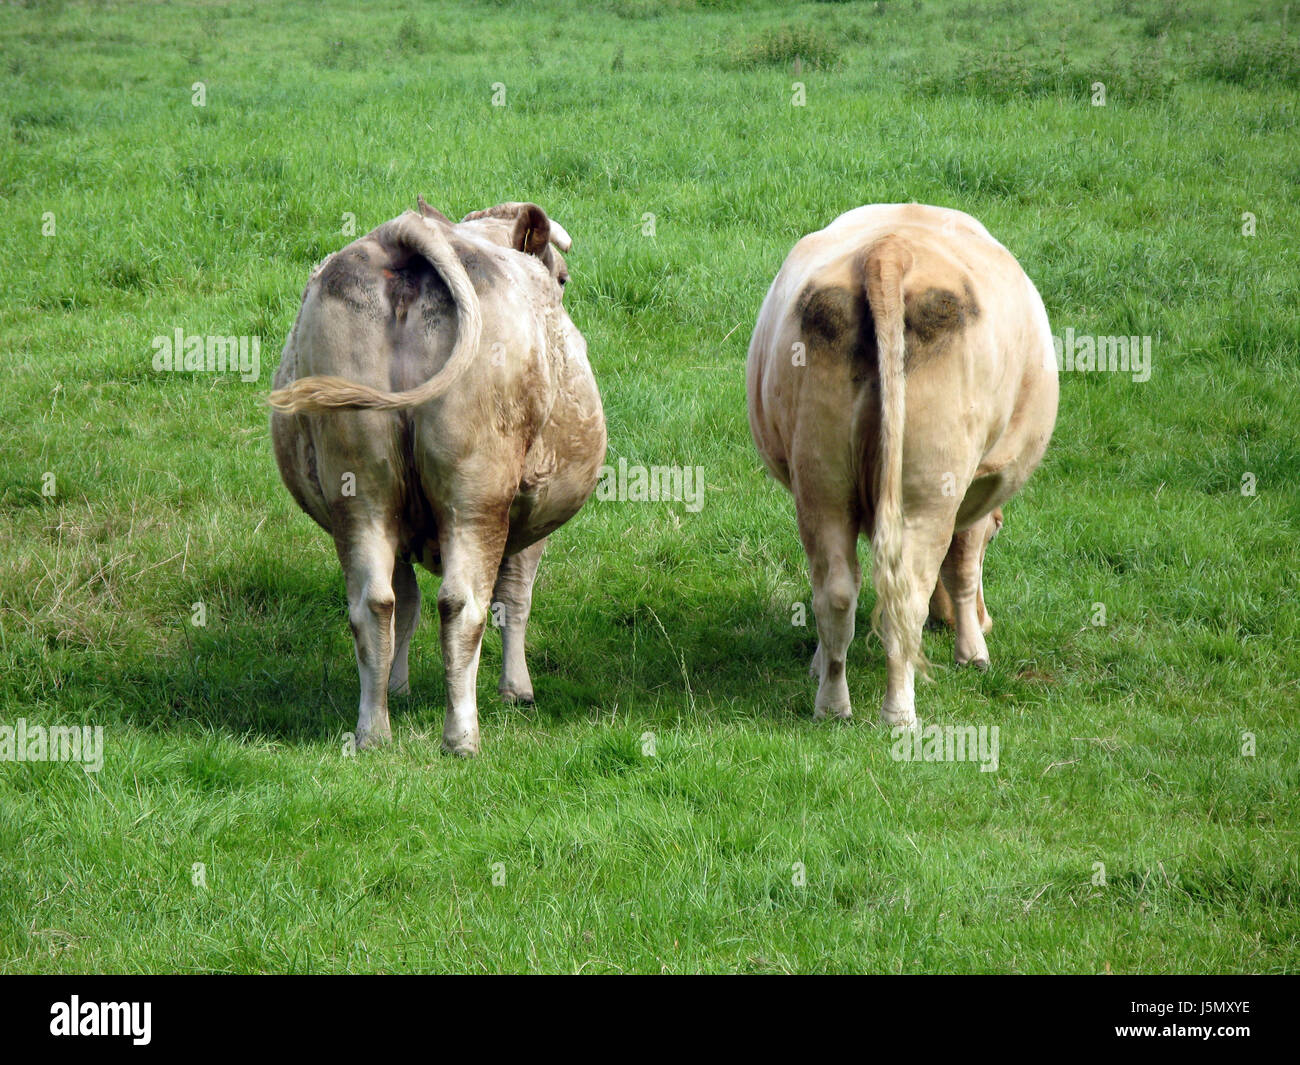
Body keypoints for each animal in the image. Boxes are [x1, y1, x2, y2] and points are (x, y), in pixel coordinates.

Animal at [269, 198, 606, 756]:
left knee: (372, 604)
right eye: (562, 278)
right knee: (462, 605)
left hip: (359, 492)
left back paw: (374, 731)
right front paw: (517, 690)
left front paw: (398, 687)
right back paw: (461, 737)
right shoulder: (530, 509)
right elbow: (515, 597)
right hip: (476, 497)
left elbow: (405, 603)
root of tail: (402, 234)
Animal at [747, 204, 1058, 727]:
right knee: (906, 594)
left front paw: (816, 663)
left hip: (821, 484)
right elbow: (963, 563)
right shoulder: (976, 486)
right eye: (999, 534)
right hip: (930, 488)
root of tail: (888, 251)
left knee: (835, 591)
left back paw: (833, 705)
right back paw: (900, 714)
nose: (979, 622)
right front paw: (973, 650)